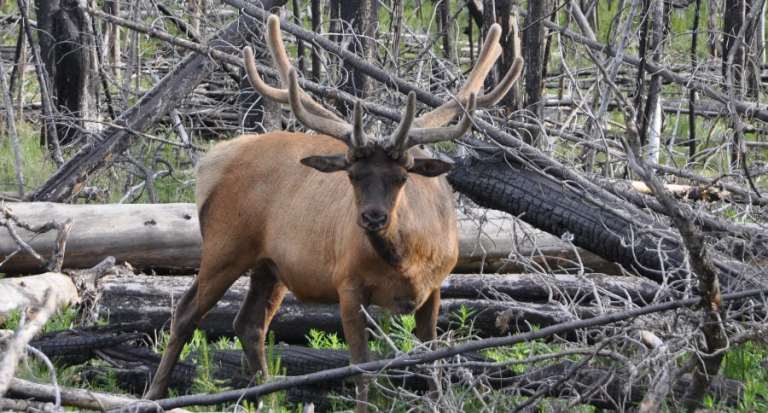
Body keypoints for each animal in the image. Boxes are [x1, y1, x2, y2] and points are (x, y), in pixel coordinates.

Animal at [145, 14, 522, 410]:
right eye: (352, 174)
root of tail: (210, 162)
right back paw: (156, 392)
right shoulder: (348, 284)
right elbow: (361, 366)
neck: (408, 260)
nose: (372, 217)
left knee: (249, 323)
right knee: (187, 311)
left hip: (270, 265)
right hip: (225, 245)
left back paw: (267, 397)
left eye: (402, 176)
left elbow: (431, 357)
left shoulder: (435, 286)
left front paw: (435, 401)